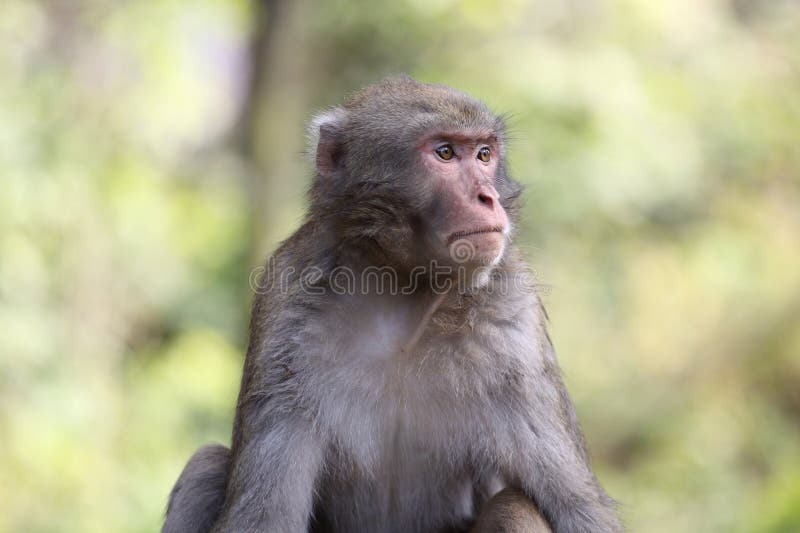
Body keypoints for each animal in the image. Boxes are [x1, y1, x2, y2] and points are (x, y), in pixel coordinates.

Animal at [163, 76, 622, 533]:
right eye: (444, 152)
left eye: (484, 154)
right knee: (207, 464)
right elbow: (263, 516)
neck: (403, 297)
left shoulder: (515, 327)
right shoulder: (286, 312)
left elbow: (580, 509)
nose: (487, 197)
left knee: (514, 506)